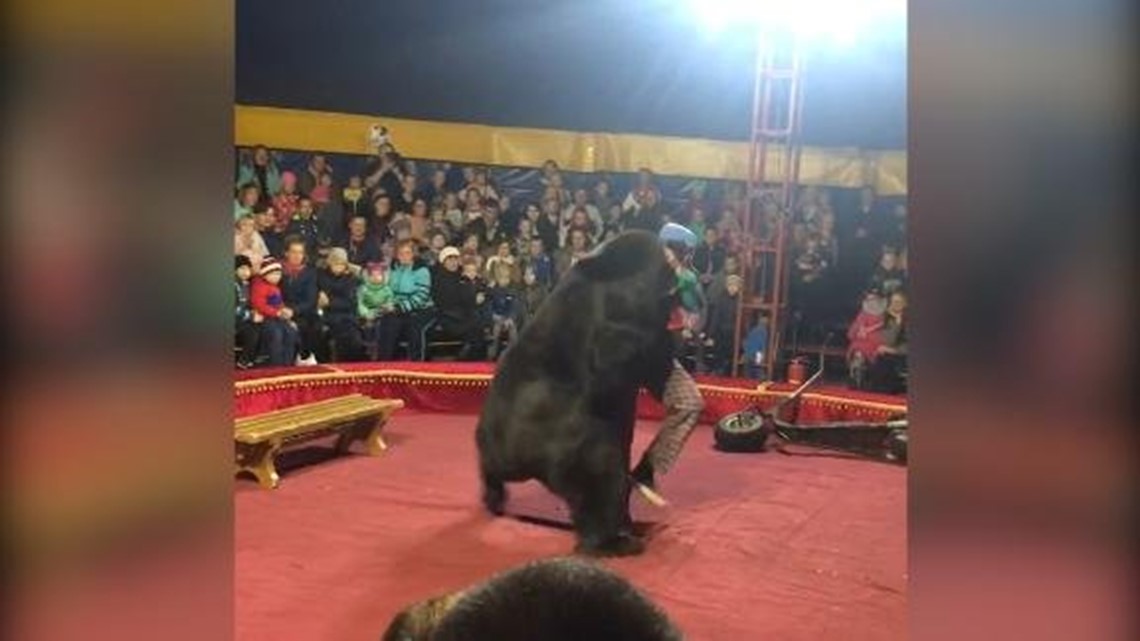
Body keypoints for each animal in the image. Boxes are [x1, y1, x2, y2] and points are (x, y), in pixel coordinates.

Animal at [475, 230, 676, 556]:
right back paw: (613, 540)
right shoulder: (614, 328)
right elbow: (617, 359)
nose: (675, 276)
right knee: (601, 476)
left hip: (505, 449)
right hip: (571, 446)